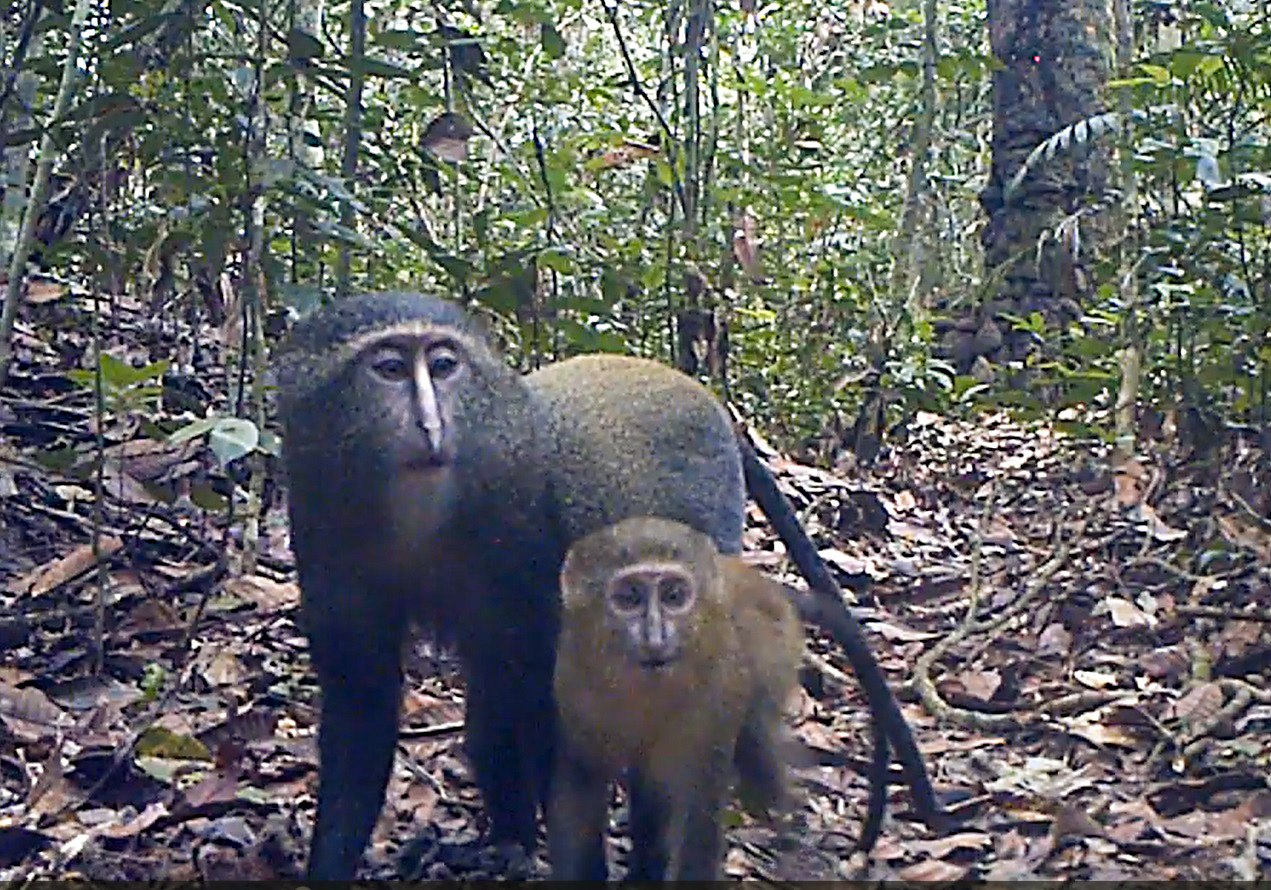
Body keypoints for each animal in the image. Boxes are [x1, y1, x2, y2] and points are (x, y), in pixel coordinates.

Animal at [548, 516, 803, 881]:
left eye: (673, 596)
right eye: (629, 597)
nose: (655, 637)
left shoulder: (715, 702)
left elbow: (698, 812)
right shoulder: (572, 683)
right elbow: (582, 780)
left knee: (754, 737)